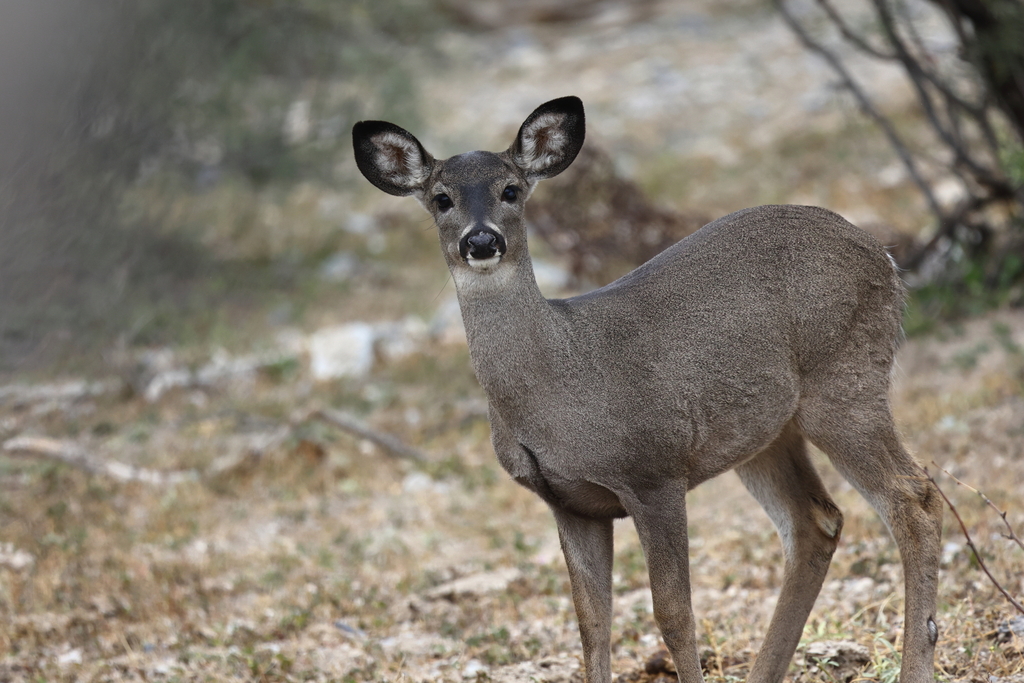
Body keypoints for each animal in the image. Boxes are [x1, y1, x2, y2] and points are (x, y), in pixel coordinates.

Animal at [352, 96, 942, 683]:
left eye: (511, 189)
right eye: (441, 198)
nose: (481, 240)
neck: (556, 384)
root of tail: (884, 255)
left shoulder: (653, 470)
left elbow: (673, 614)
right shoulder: (571, 504)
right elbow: (592, 624)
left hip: (844, 375)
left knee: (913, 495)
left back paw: (916, 664)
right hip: (765, 429)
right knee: (816, 521)